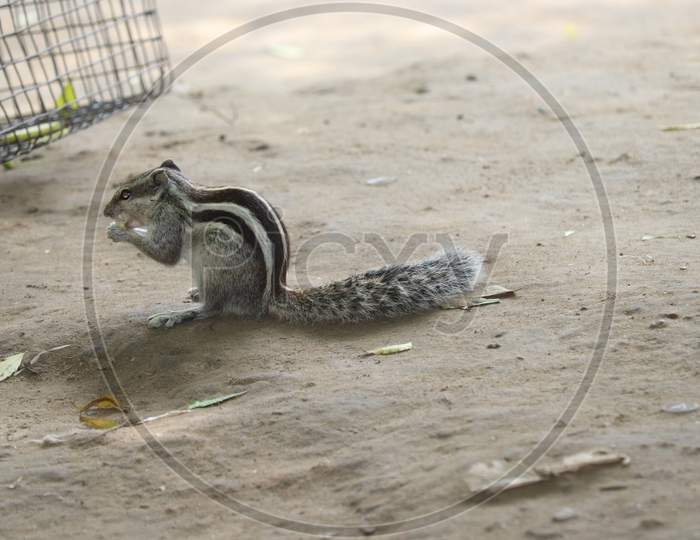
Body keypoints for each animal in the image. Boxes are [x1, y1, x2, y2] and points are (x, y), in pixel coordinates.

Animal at [104, 160, 482, 328]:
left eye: (125, 194)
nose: (106, 210)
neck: (179, 193)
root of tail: (269, 295)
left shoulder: (171, 222)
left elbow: (166, 253)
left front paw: (120, 231)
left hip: (215, 257)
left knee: (214, 307)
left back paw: (179, 314)